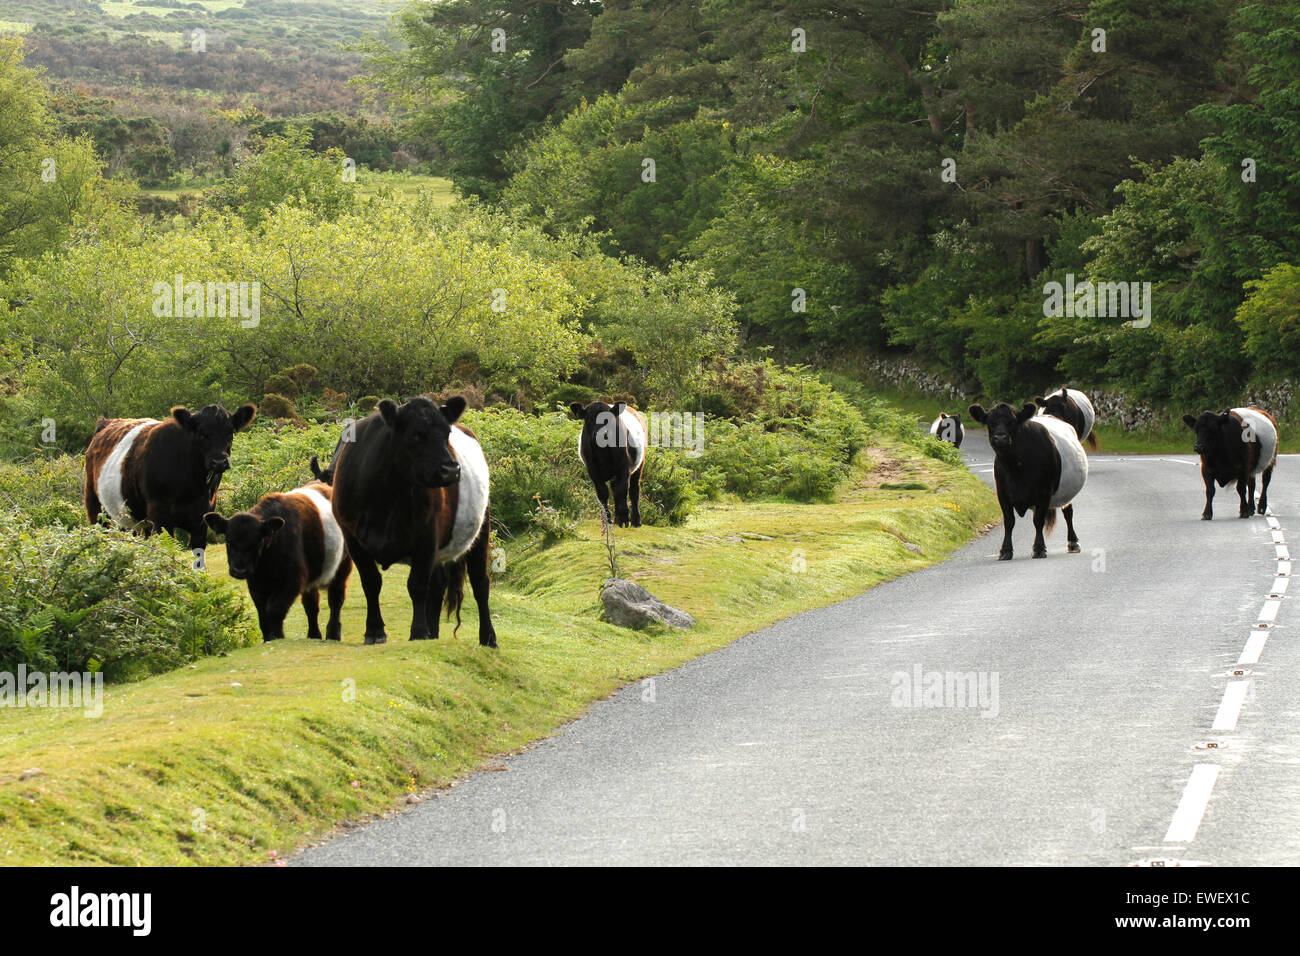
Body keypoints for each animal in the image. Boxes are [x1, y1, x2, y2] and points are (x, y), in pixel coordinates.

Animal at [84, 403, 257, 552]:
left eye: (230, 432)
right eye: (201, 434)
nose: (219, 461)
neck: (194, 486)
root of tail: (106, 422)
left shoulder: (202, 519)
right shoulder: (160, 516)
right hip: (95, 507)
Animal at [204, 480, 352, 642]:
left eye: (257, 542)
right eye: (228, 542)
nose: (239, 570)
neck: (267, 563)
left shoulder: (293, 580)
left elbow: (275, 610)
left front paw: (278, 636)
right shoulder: (256, 584)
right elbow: (263, 615)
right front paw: (268, 638)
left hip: (343, 567)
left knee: (336, 600)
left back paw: (333, 634)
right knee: (311, 605)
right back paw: (314, 635)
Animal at [328, 396, 496, 647]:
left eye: (446, 433)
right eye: (415, 435)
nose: (451, 469)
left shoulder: (426, 537)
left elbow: (417, 585)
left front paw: (417, 631)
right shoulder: (353, 538)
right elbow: (371, 582)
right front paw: (375, 631)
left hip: (481, 528)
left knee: (480, 583)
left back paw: (488, 637)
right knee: (438, 585)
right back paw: (433, 632)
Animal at [968, 402, 1089, 560]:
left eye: (1012, 422)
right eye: (990, 423)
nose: (1000, 438)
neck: (1015, 467)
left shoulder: (1044, 491)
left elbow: (1038, 520)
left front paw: (1039, 549)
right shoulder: (1002, 493)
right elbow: (1009, 521)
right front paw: (1005, 551)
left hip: (1066, 493)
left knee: (1068, 513)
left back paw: (1073, 543)